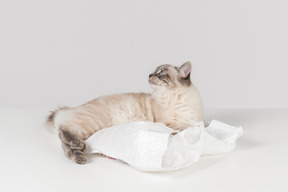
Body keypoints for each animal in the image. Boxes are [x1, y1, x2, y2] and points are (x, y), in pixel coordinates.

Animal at [46, 61, 202, 164]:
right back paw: (79, 148)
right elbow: (187, 127)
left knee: (64, 143)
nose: (149, 75)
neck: (175, 98)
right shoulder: (167, 124)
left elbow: (199, 124)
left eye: (162, 73)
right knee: (64, 131)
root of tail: (69, 109)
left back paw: (78, 156)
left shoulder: (196, 119)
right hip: (90, 125)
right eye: (154, 72)